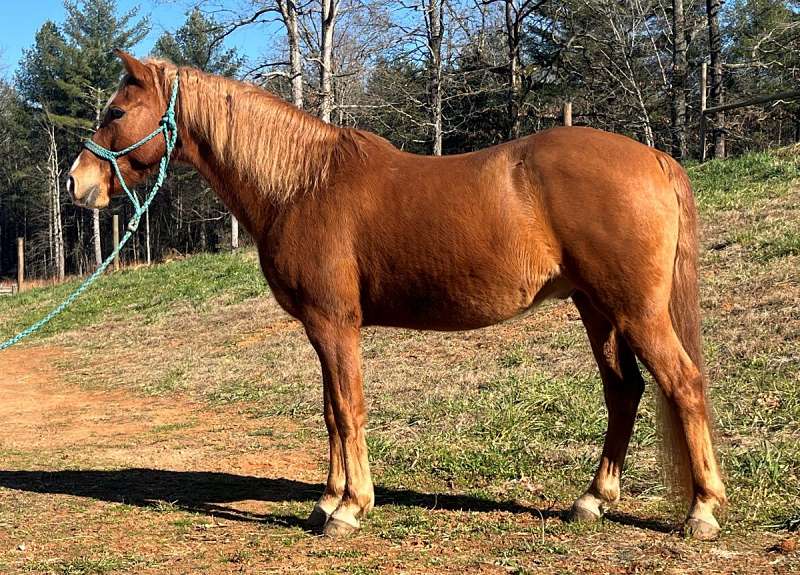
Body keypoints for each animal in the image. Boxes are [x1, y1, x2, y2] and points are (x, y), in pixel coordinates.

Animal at [67, 50, 725, 540]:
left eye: (117, 109)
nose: (78, 184)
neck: (302, 185)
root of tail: (655, 157)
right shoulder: (323, 329)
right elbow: (331, 412)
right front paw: (327, 501)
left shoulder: (335, 324)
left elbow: (347, 408)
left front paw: (350, 508)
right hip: (597, 308)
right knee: (624, 391)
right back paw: (591, 501)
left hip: (636, 311)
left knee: (683, 384)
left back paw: (701, 511)